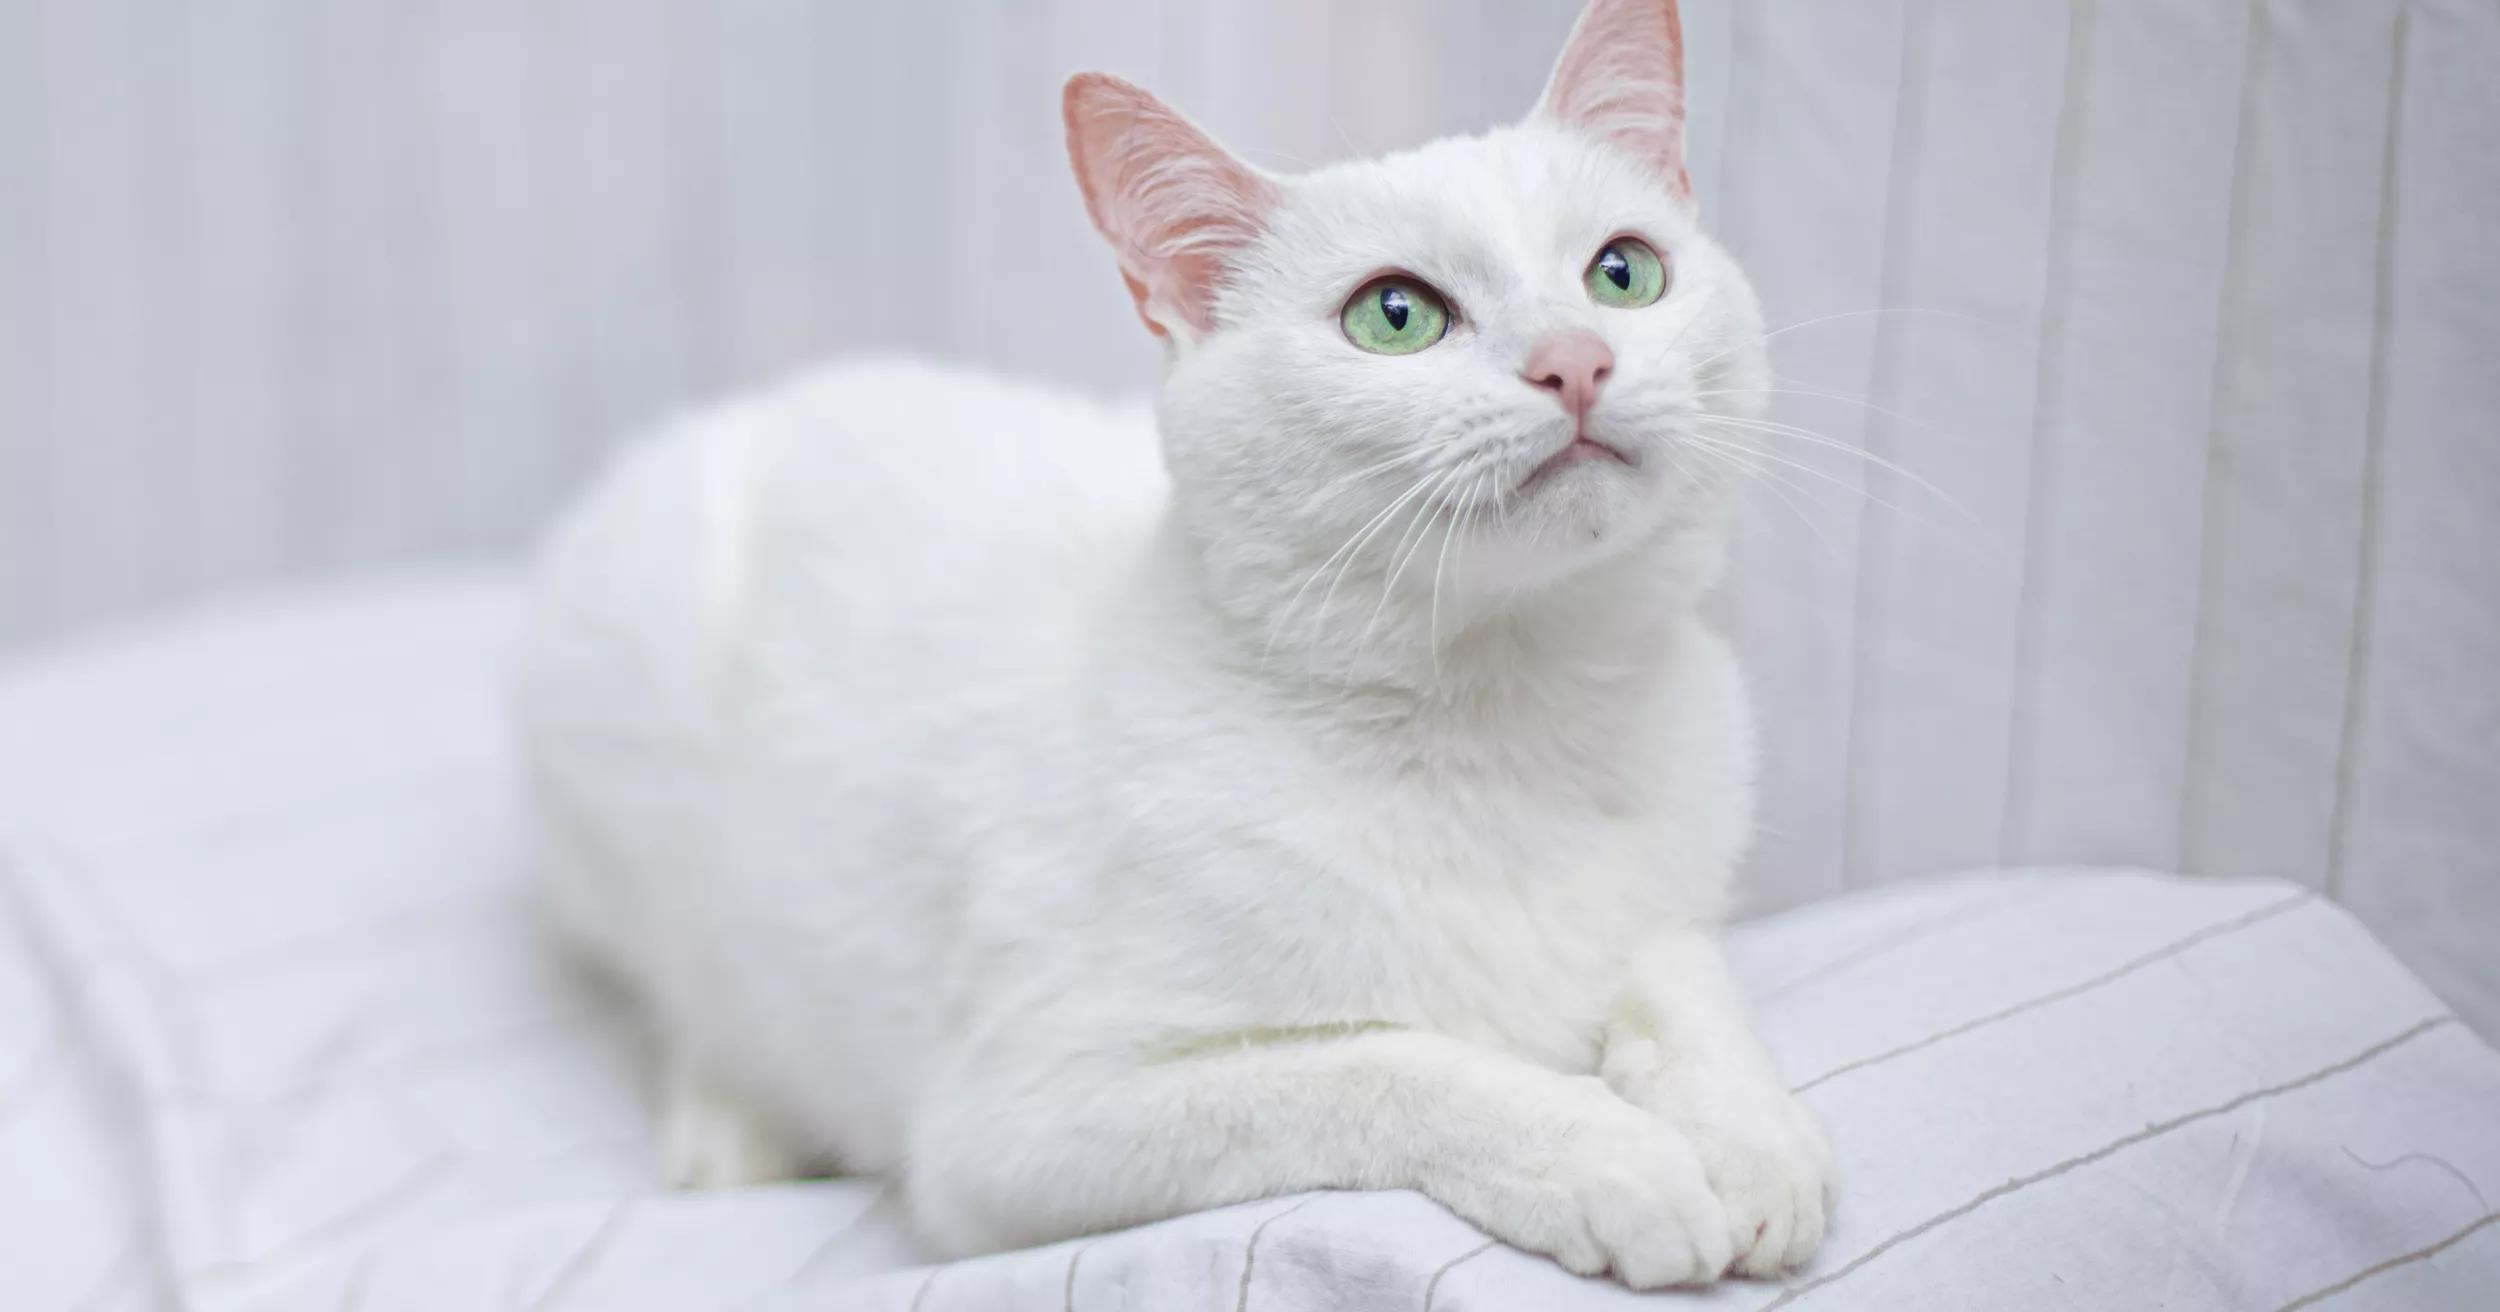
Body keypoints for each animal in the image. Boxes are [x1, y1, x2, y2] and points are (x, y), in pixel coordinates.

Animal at [512, 0, 1840, 1289]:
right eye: (1394, 314)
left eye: (1622, 272)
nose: (1576, 358)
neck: (1508, 719)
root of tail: (750, 407)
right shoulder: (1021, 1130)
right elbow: (1380, 1062)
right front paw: (1613, 1159)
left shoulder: (1672, 900)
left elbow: (1681, 974)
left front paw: (1750, 1138)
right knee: (696, 989)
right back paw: (727, 1125)